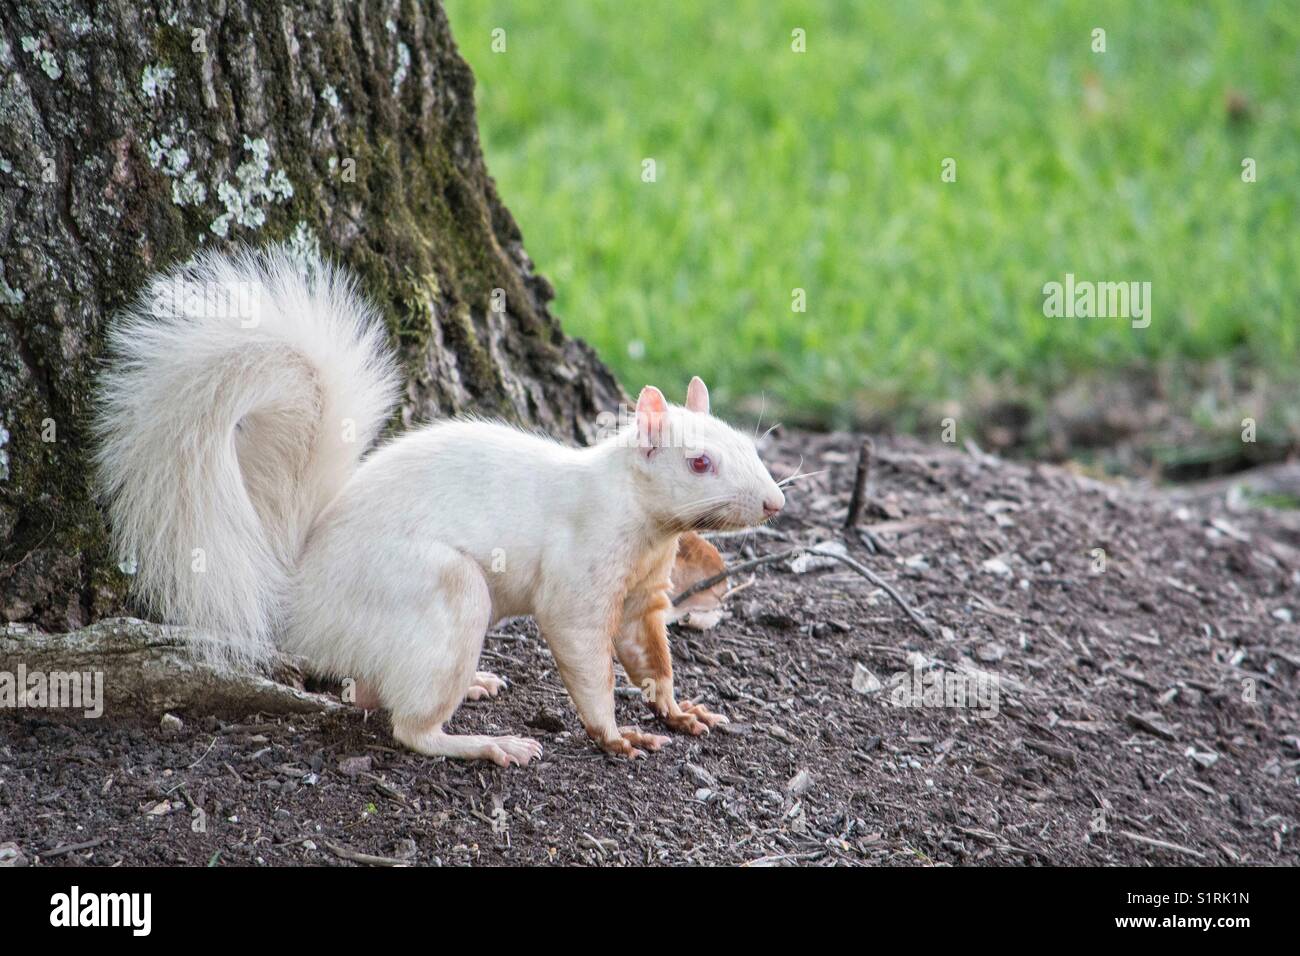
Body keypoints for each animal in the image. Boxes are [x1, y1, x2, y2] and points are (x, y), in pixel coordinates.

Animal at [93, 247, 785, 767]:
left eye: (745, 442)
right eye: (699, 463)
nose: (775, 502)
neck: (643, 523)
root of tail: (299, 586)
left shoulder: (645, 590)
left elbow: (649, 652)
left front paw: (676, 708)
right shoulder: (579, 579)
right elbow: (584, 654)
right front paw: (614, 734)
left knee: (367, 693)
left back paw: (472, 687)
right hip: (441, 593)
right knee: (407, 727)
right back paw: (486, 743)